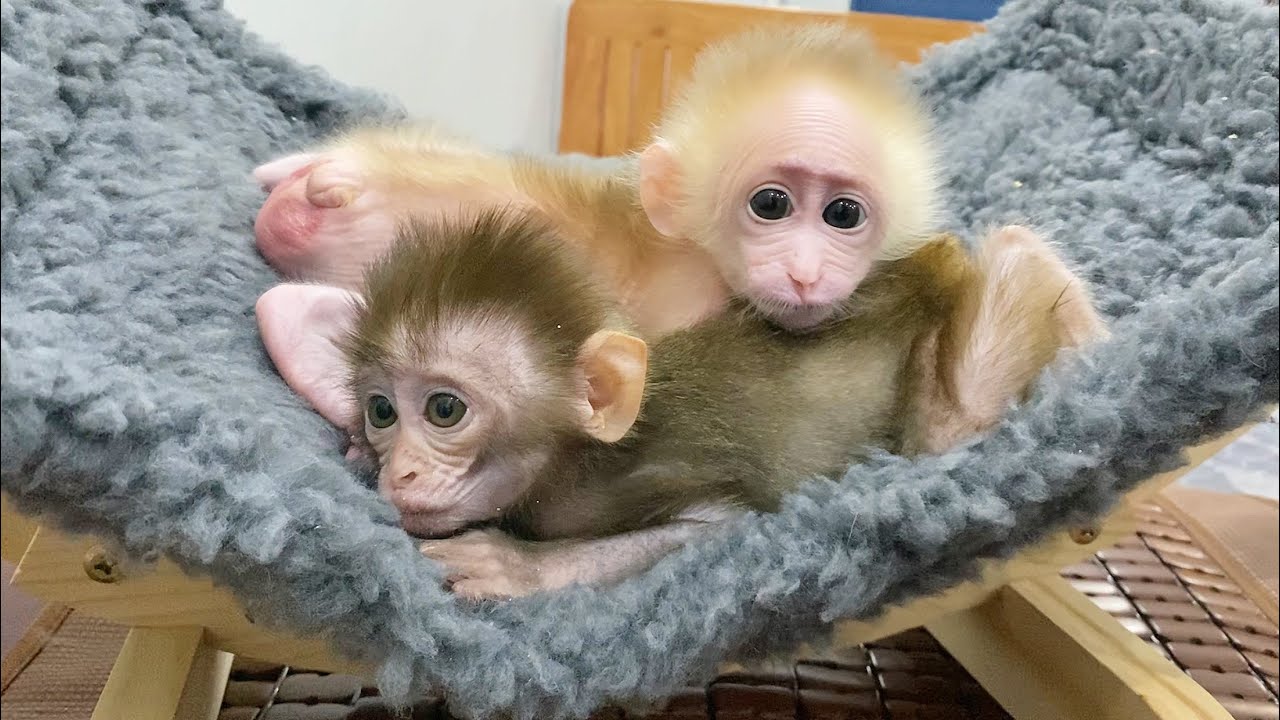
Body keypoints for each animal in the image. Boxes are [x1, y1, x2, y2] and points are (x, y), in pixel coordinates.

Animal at [257, 207, 1093, 601]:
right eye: (382, 411)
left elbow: (723, 527)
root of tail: (916, 277)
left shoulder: (637, 473)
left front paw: (521, 568)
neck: (566, 464)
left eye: (443, 412)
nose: (398, 470)